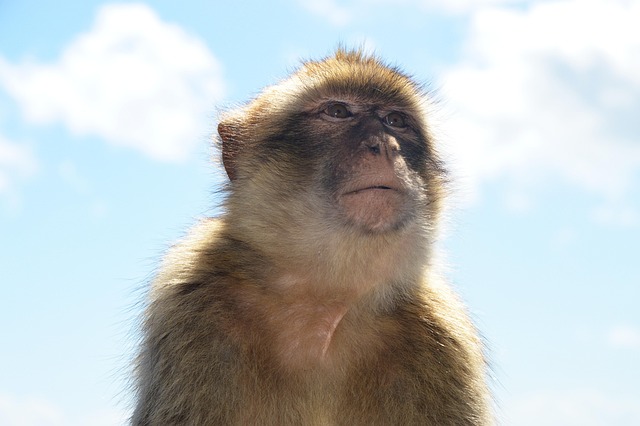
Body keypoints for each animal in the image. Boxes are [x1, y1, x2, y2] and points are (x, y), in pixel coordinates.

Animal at [132, 49, 493, 425]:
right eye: (338, 112)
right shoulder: (192, 300)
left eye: (395, 121)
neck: (323, 296)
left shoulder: (441, 331)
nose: (385, 145)